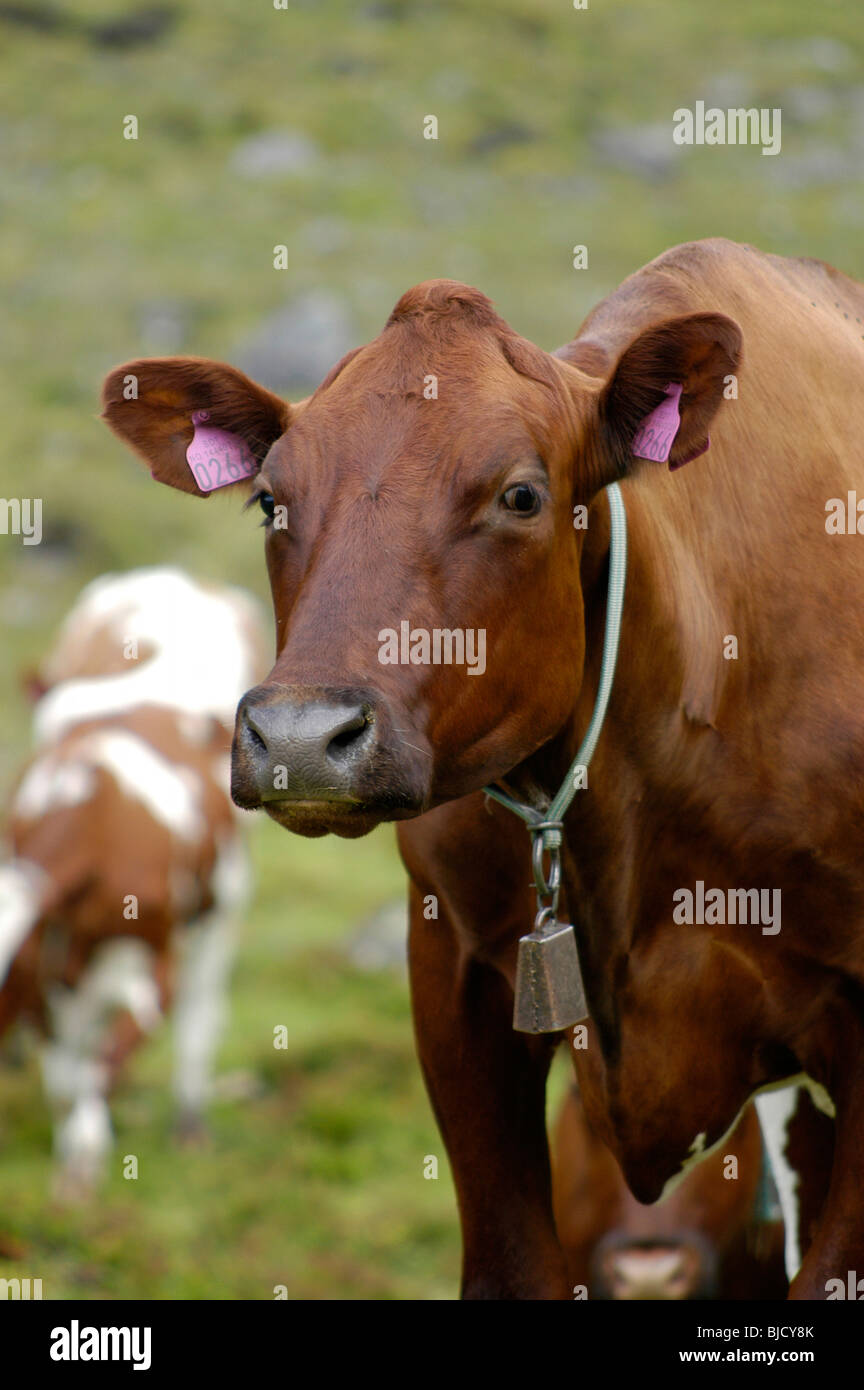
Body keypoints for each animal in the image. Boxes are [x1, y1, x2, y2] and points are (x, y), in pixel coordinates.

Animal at [0, 567, 266, 1195]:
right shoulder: (45, 979)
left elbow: (103, 1064)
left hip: (224, 900)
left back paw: (190, 1122)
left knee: (201, 1013)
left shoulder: (156, 964)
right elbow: (66, 1078)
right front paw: (77, 1155)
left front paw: (85, 1160)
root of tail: (178, 578)